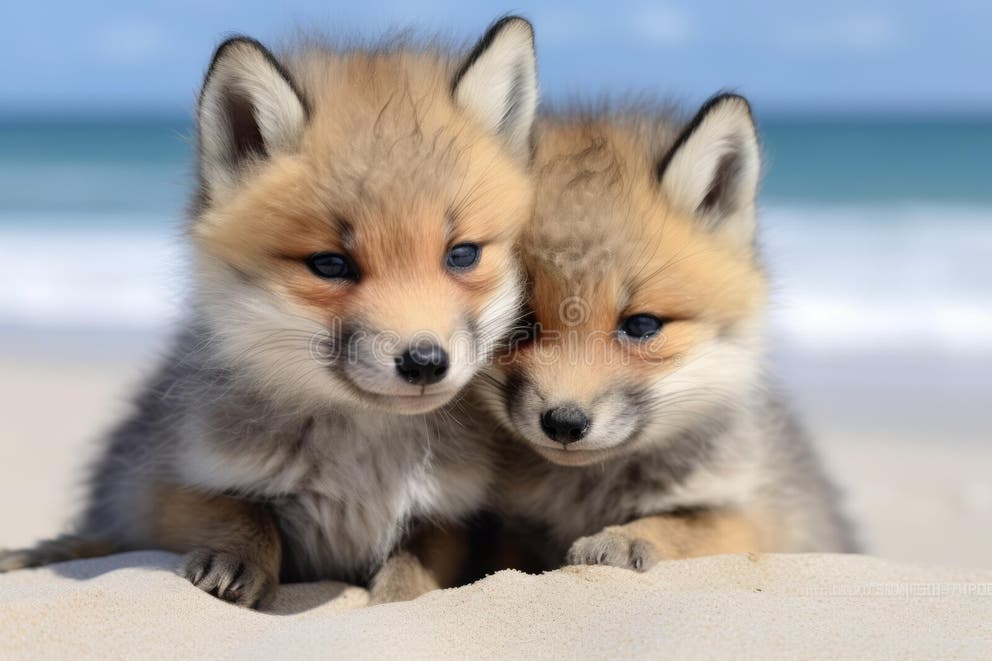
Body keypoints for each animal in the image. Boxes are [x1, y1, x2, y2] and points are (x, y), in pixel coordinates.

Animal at [0, 17, 539, 608]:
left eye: (461, 254)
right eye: (330, 264)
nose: (424, 362)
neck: (362, 470)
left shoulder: (451, 514)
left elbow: (416, 564)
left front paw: (398, 596)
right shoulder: (155, 484)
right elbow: (237, 510)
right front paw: (237, 558)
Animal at [474, 94, 857, 573]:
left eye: (641, 325)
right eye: (518, 320)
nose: (564, 423)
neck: (587, 498)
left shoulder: (754, 514)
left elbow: (684, 524)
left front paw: (623, 539)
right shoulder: (512, 527)